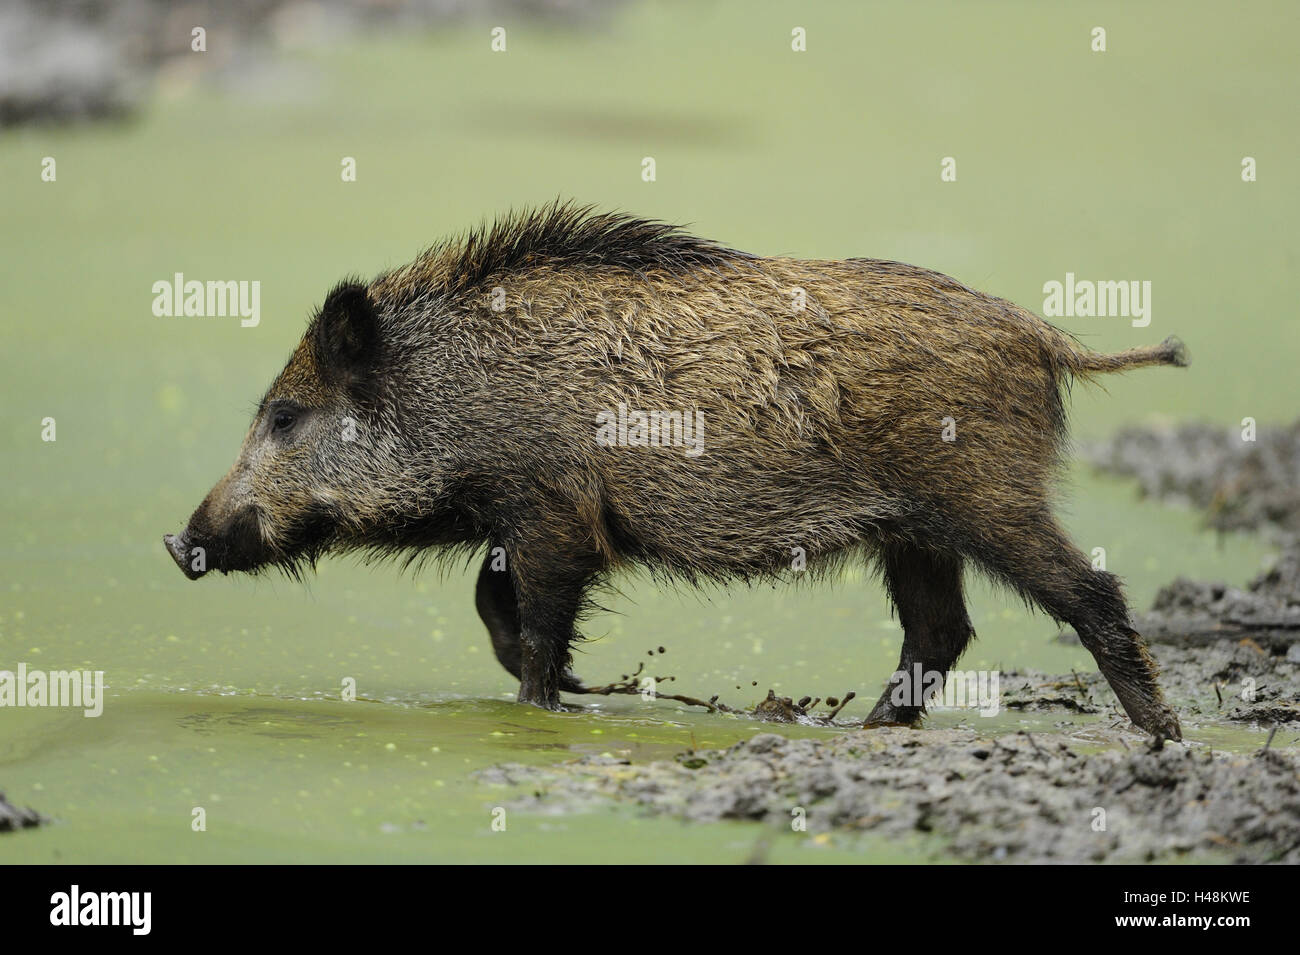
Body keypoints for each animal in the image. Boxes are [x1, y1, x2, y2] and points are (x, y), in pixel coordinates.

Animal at [164, 201, 1187, 740]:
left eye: (285, 415)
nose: (179, 542)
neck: (454, 387)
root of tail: (1044, 337)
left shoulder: (552, 513)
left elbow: (536, 623)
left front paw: (552, 703)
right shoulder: (522, 518)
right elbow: (494, 609)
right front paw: (578, 686)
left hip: (984, 496)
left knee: (1088, 590)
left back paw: (1162, 734)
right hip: (913, 529)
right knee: (941, 630)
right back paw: (863, 732)